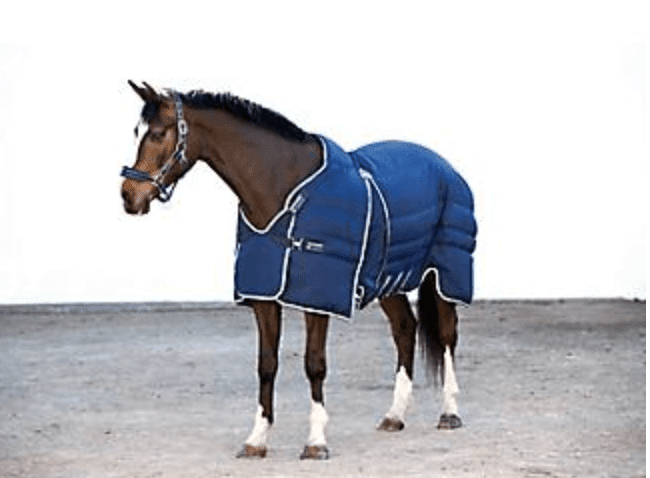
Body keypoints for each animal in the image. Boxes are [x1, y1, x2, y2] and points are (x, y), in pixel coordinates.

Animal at [120, 81, 477, 460]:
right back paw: (394, 416)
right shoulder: (264, 296)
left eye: (158, 133)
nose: (128, 195)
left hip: (444, 273)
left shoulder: (317, 299)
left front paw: (316, 442)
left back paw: (449, 413)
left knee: (447, 333)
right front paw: (256, 440)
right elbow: (266, 365)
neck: (282, 192)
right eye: (137, 132)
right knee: (405, 329)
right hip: (388, 279)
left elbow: (314, 364)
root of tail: (444, 166)